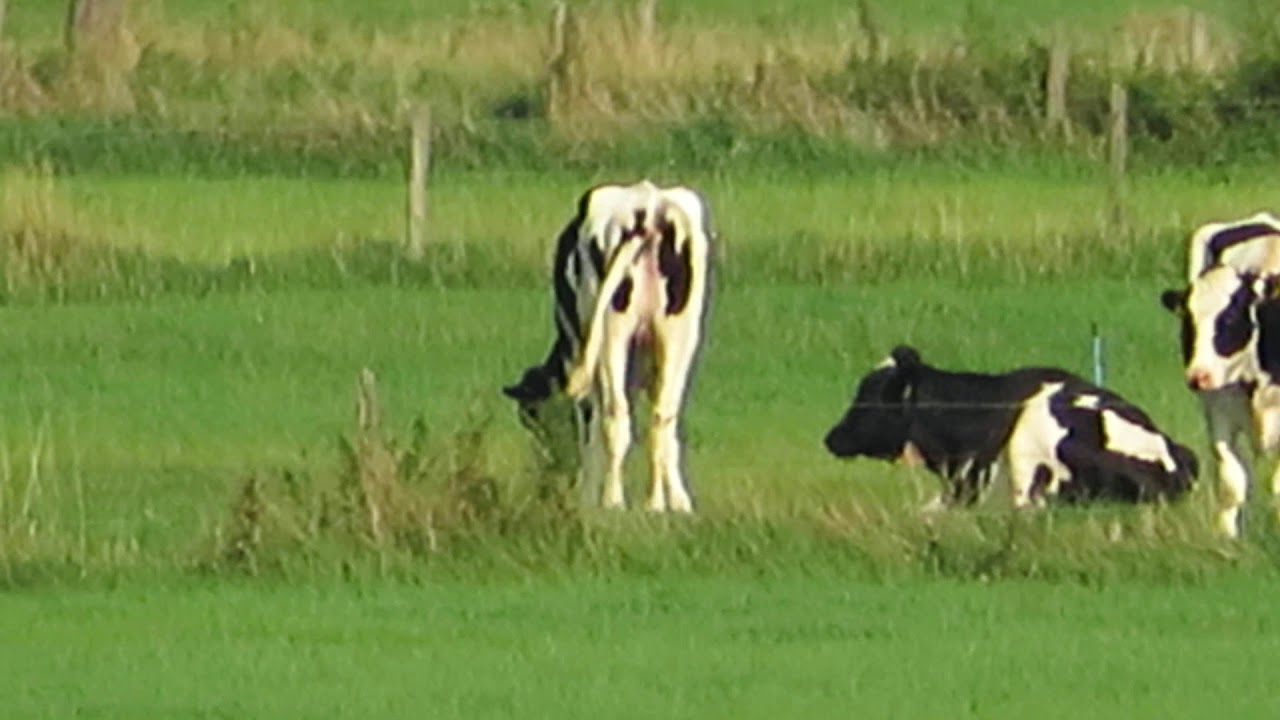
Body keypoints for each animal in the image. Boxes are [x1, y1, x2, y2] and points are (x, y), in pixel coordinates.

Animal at [502, 180, 713, 513]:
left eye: (533, 416)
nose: (551, 464)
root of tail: (648, 205)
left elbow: (591, 421)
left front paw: (588, 498)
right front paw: (672, 500)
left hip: (611, 333)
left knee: (616, 415)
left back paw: (613, 500)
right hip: (681, 334)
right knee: (663, 417)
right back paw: (658, 505)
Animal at [1158, 211, 1280, 537]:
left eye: (1230, 318)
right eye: (1187, 322)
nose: (1199, 376)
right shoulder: (1219, 409)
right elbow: (1232, 481)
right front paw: (1227, 535)